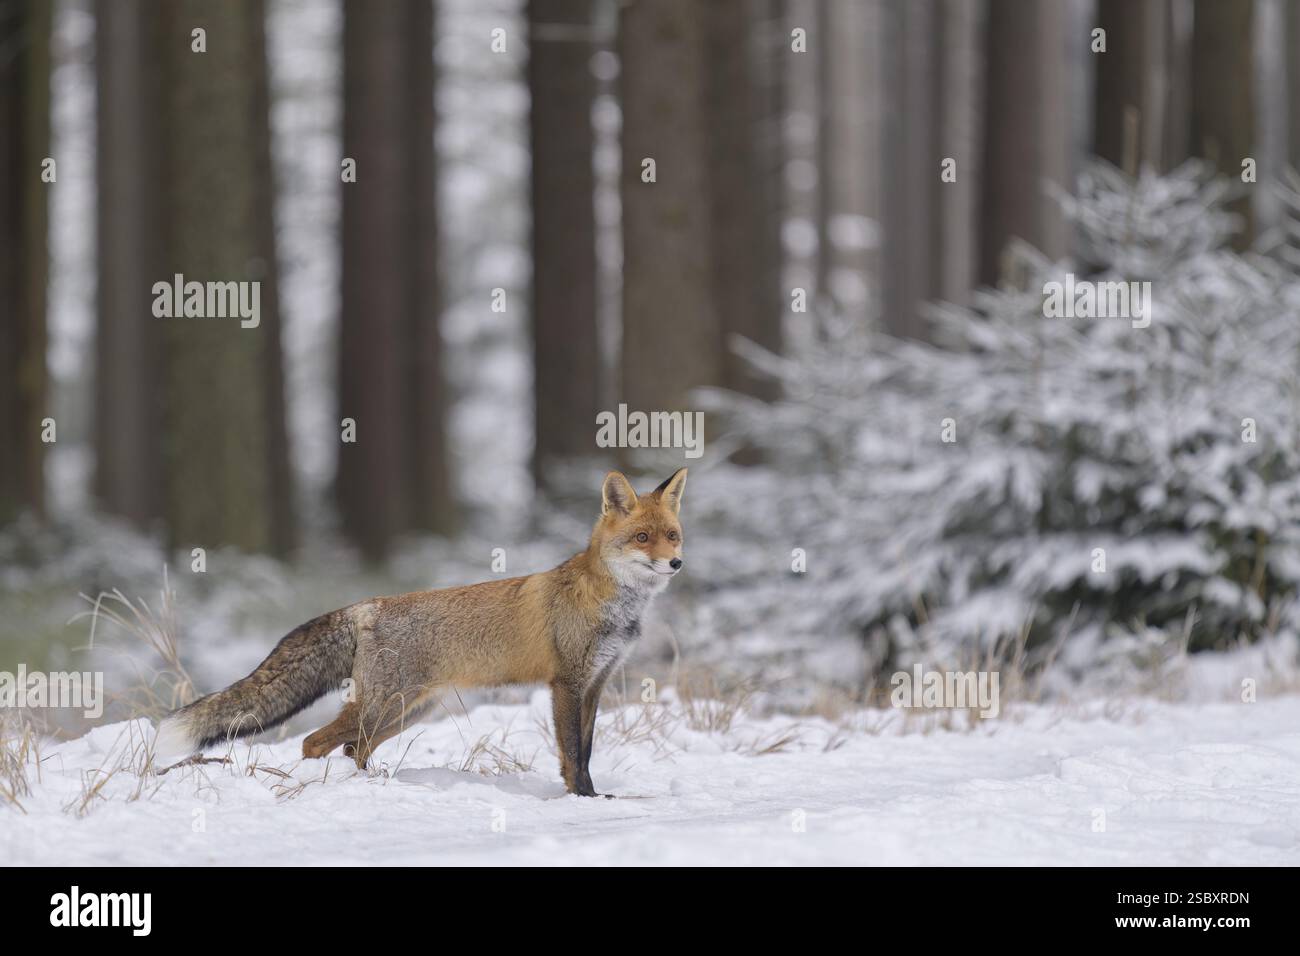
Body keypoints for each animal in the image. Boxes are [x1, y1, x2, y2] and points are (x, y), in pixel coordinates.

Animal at [154, 468, 687, 796]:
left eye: (672, 536)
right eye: (642, 538)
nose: (676, 563)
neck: (614, 605)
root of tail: (366, 606)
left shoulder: (596, 685)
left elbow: (588, 751)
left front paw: (596, 795)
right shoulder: (567, 685)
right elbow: (573, 753)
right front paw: (581, 798)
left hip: (407, 712)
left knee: (353, 747)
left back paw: (374, 784)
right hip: (387, 704)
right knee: (315, 743)